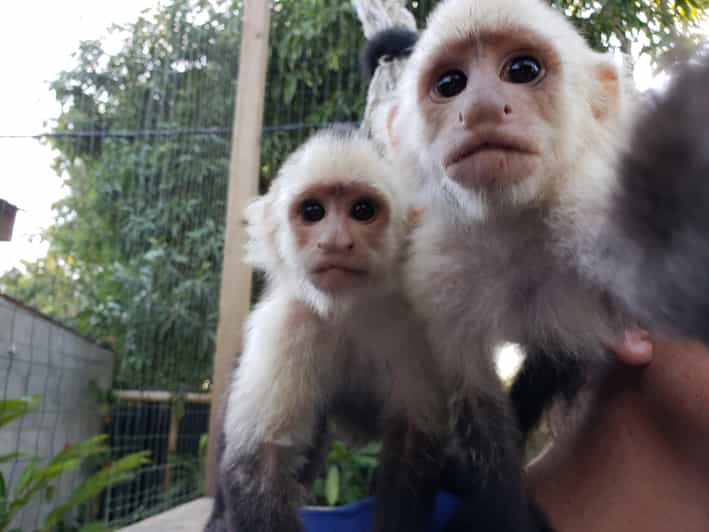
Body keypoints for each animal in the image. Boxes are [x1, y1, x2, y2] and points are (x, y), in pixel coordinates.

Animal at [205, 127, 450, 532]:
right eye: (313, 212)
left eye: (362, 211)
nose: (336, 242)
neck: (347, 310)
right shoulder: (284, 323)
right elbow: (262, 462)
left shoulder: (416, 321)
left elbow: (413, 445)